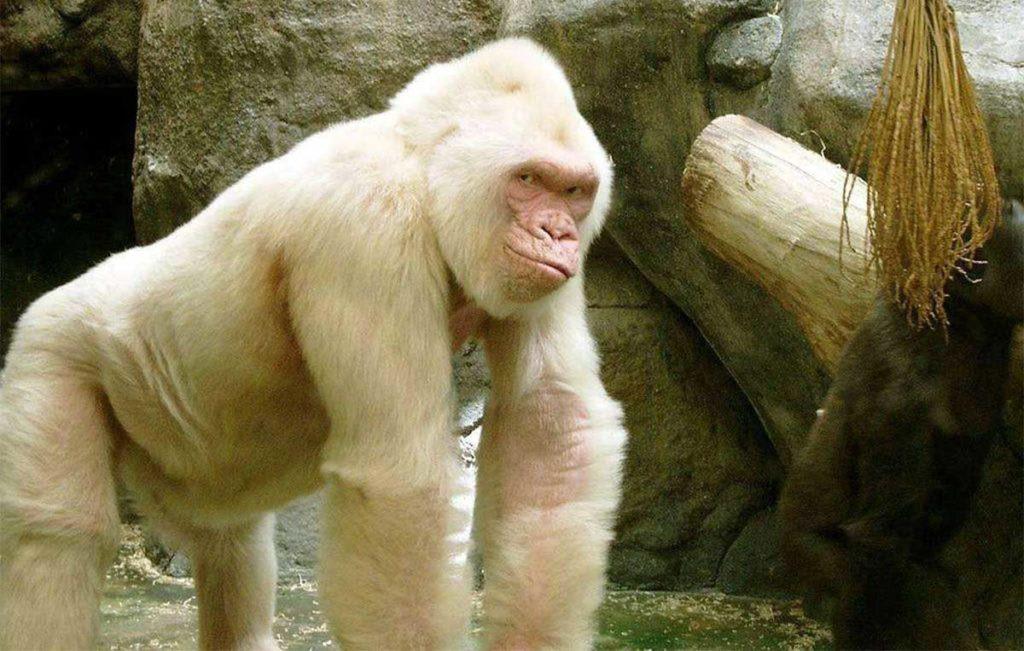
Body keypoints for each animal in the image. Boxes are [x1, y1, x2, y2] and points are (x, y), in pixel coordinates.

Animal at [0, 38, 627, 651]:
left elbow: (549, 427)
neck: (420, 166)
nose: (558, 234)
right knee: (58, 540)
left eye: (574, 191)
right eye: (528, 180)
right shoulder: (367, 225)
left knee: (232, 545)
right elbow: (400, 480)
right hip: (50, 343)